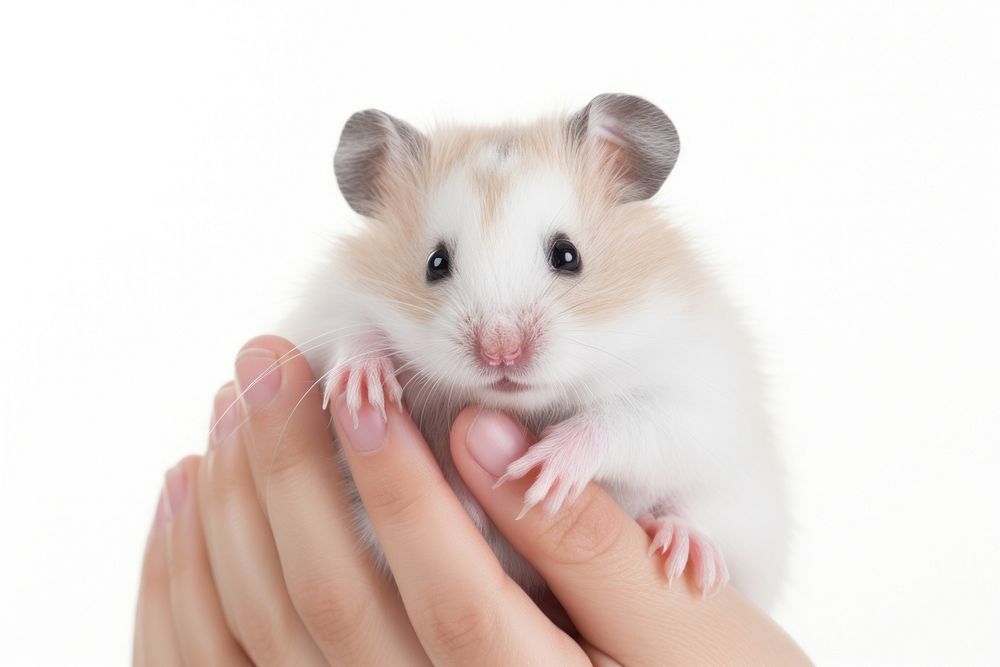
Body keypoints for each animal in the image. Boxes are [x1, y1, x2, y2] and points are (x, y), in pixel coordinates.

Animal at [282, 93, 789, 609]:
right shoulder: (323, 310)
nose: (500, 352)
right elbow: (348, 331)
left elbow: (629, 421)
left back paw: (687, 549)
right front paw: (364, 387)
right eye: (435, 262)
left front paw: (542, 470)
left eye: (568, 256)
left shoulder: (696, 388)